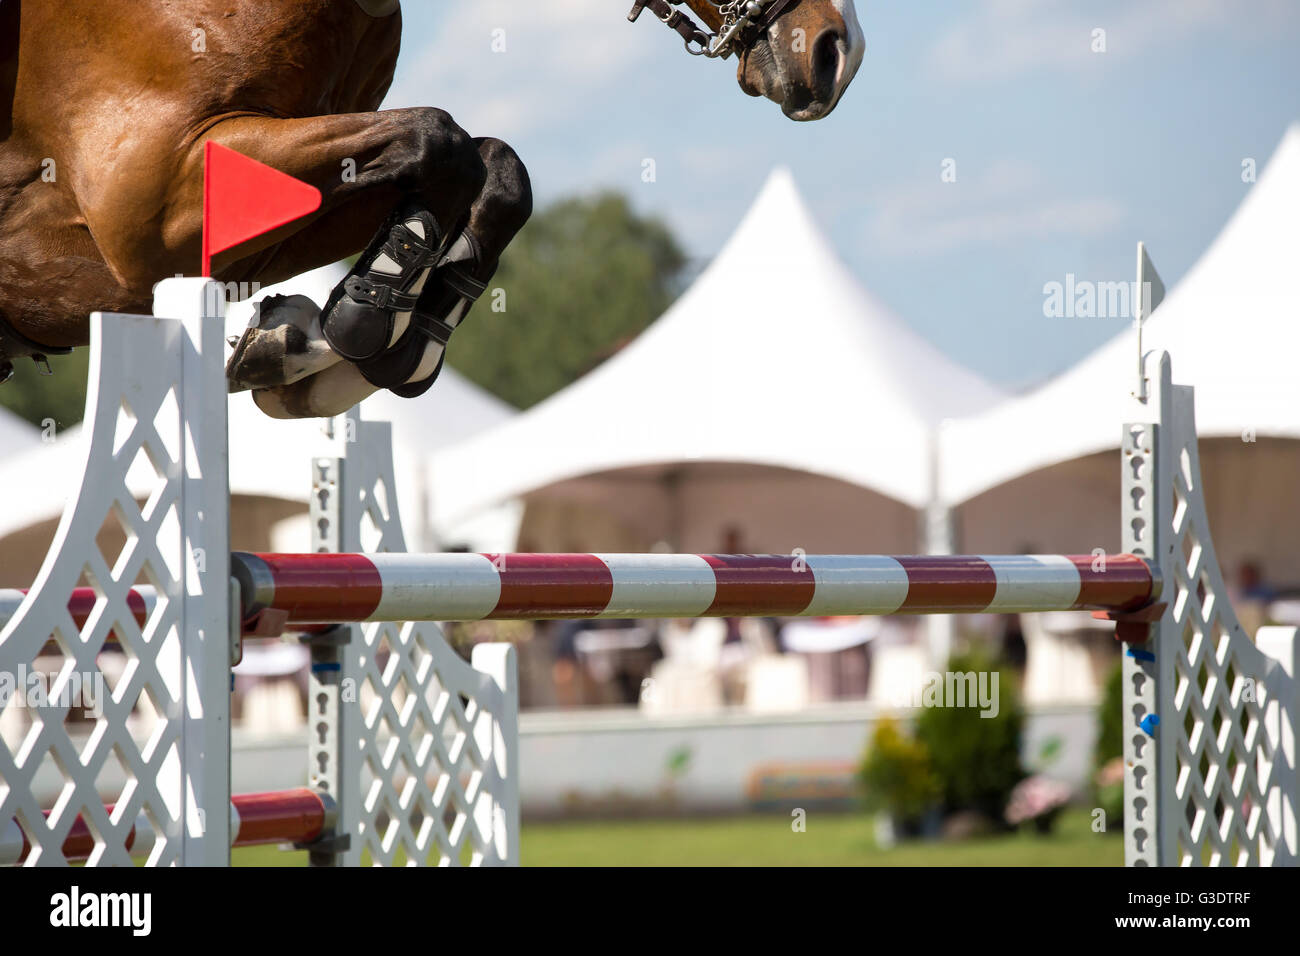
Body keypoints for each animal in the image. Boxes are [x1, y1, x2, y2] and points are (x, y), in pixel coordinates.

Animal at [0, 0, 864, 418]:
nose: (835, 50)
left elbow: (490, 164)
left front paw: (367, 338)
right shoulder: (154, 208)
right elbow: (438, 138)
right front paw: (364, 318)